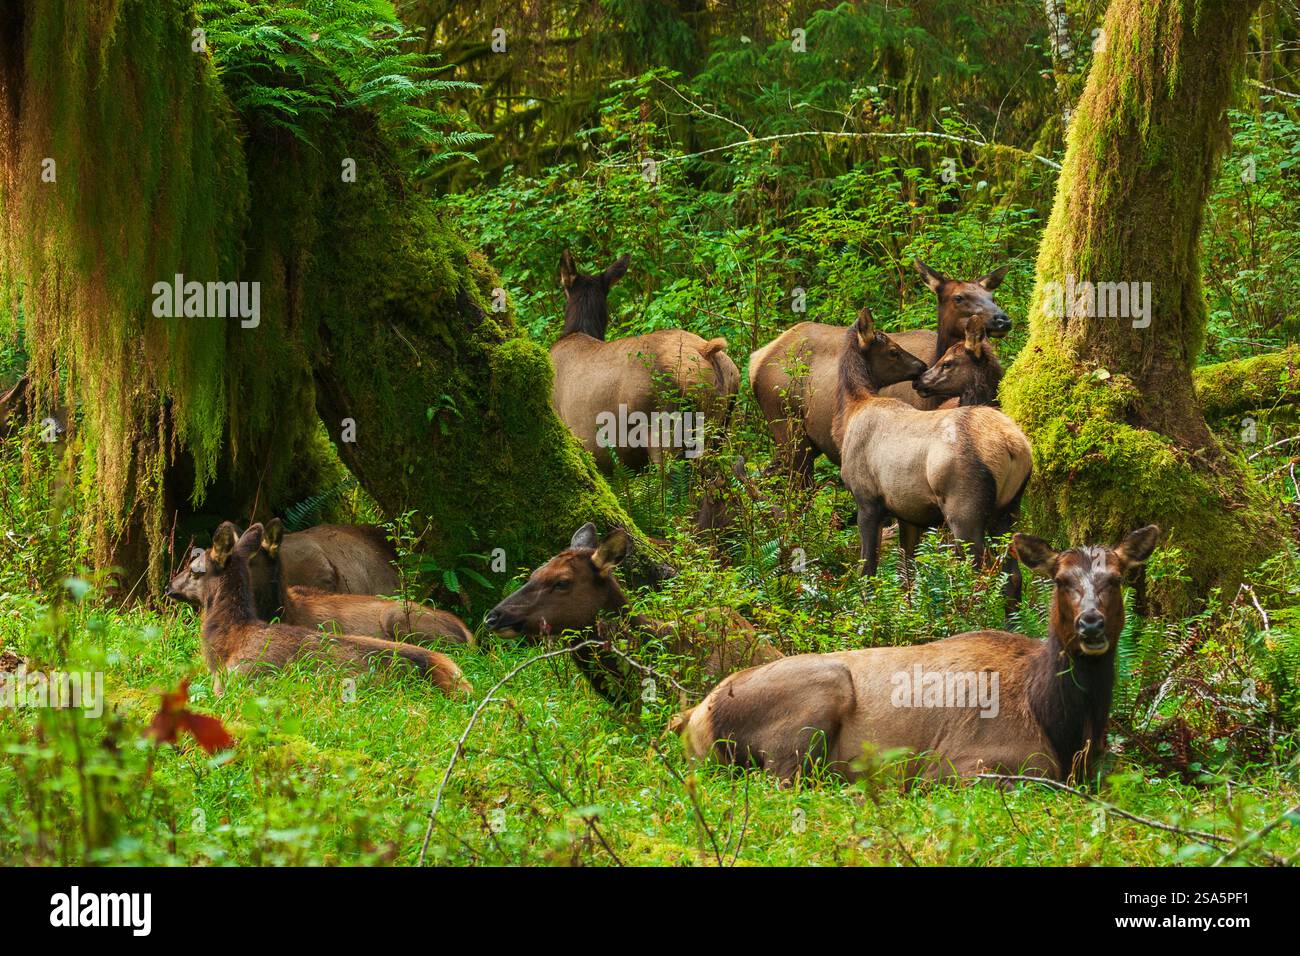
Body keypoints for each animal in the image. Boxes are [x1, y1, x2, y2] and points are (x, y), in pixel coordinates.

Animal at [674, 526, 1159, 785]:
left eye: (1116, 578)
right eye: (1061, 580)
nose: (1091, 624)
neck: (1064, 723)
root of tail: (695, 717)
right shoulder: (963, 764)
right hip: (817, 700)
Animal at [833, 308, 1032, 601]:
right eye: (893, 350)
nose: (920, 371)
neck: (852, 410)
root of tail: (1013, 447)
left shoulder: (867, 499)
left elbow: (867, 571)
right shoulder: (907, 513)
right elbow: (907, 574)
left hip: (964, 510)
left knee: (979, 576)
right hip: (1009, 510)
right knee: (1013, 577)